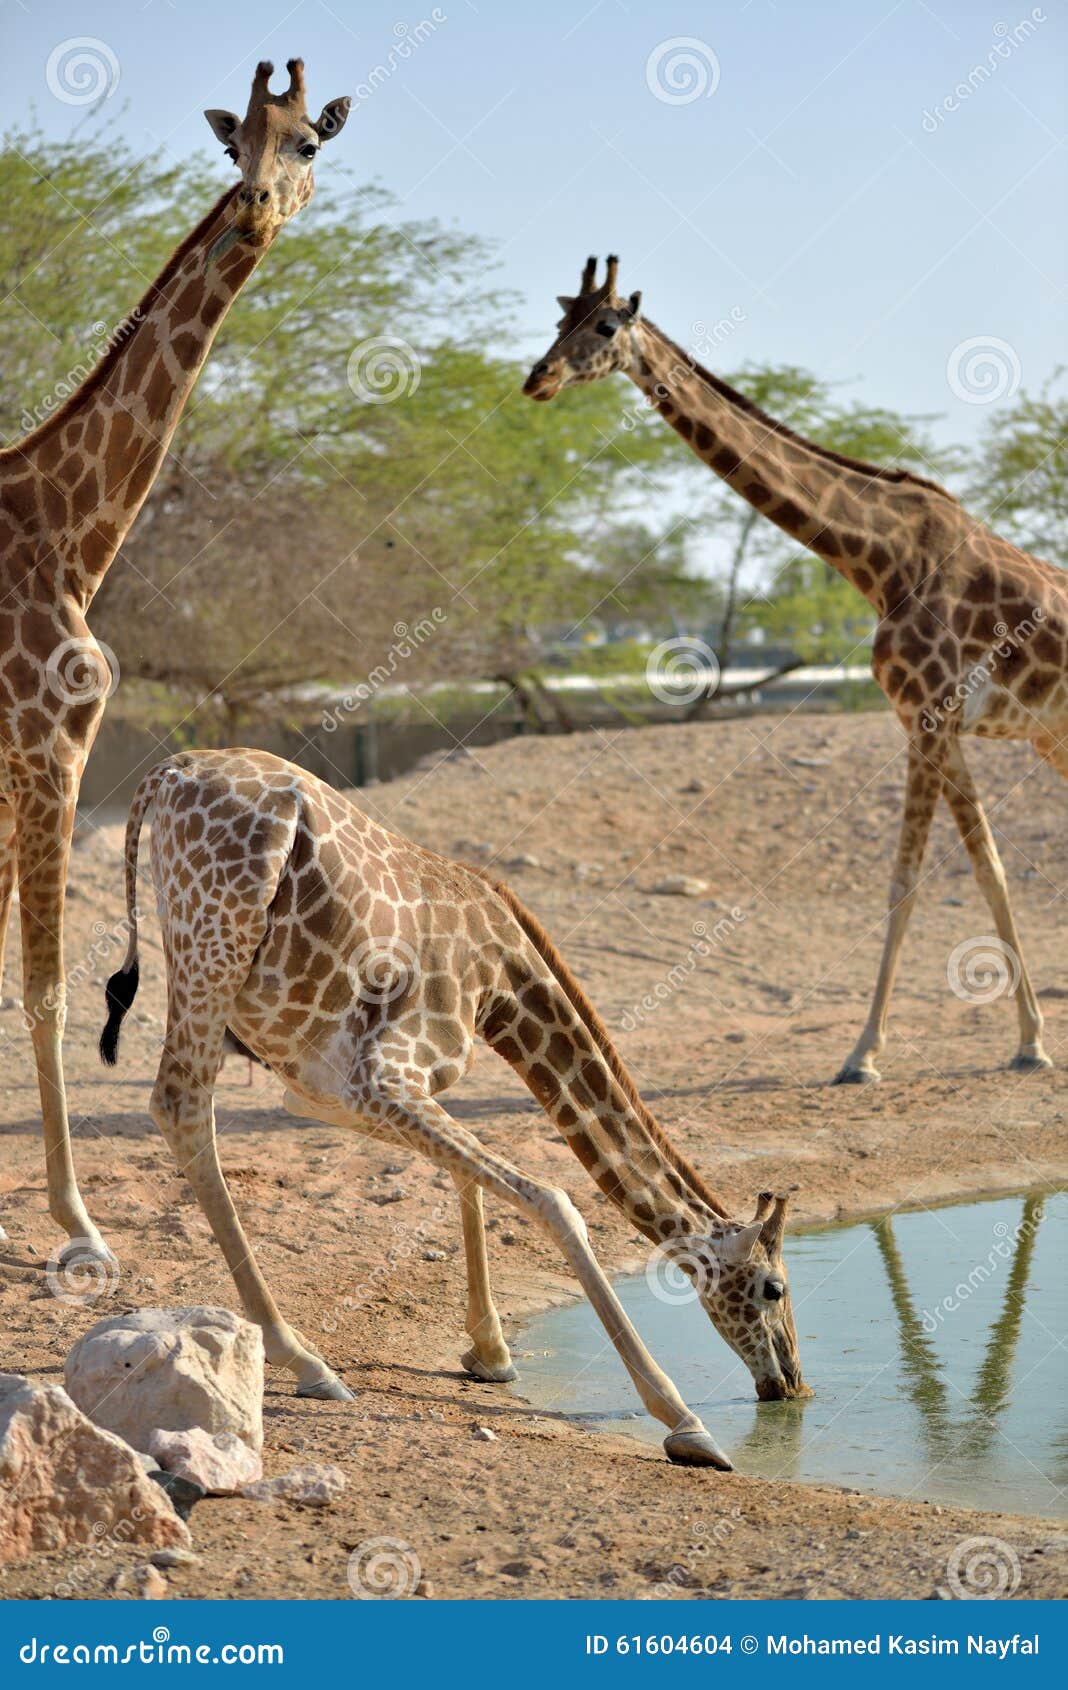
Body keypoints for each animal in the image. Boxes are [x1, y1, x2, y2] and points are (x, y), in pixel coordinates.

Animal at [0, 59, 350, 1263]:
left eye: (306, 141)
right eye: (234, 139)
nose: (252, 205)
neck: (71, 534)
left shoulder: (25, 762)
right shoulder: (46, 752)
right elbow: (47, 988)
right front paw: (78, 1223)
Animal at [97, 748, 809, 1458]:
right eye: (773, 1288)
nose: (790, 1383)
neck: (502, 980)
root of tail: (167, 773)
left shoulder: (323, 1091)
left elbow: (467, 1177)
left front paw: (490, 1352)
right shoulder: (381, 1077)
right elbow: (555, 1201)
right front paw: (682, 1418)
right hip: (213, 950)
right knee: (180, 1104)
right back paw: (307, 1363)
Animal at [525, 257, 1068, 1084]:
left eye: (606, 325)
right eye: (561, 319)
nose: (539, 377)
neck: (877, 561)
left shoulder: (932, 717)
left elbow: (919, 878)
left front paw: (872, 1052)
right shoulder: (929, 722)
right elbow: (982, 869)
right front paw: (1021, 1038)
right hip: (1053, 736)